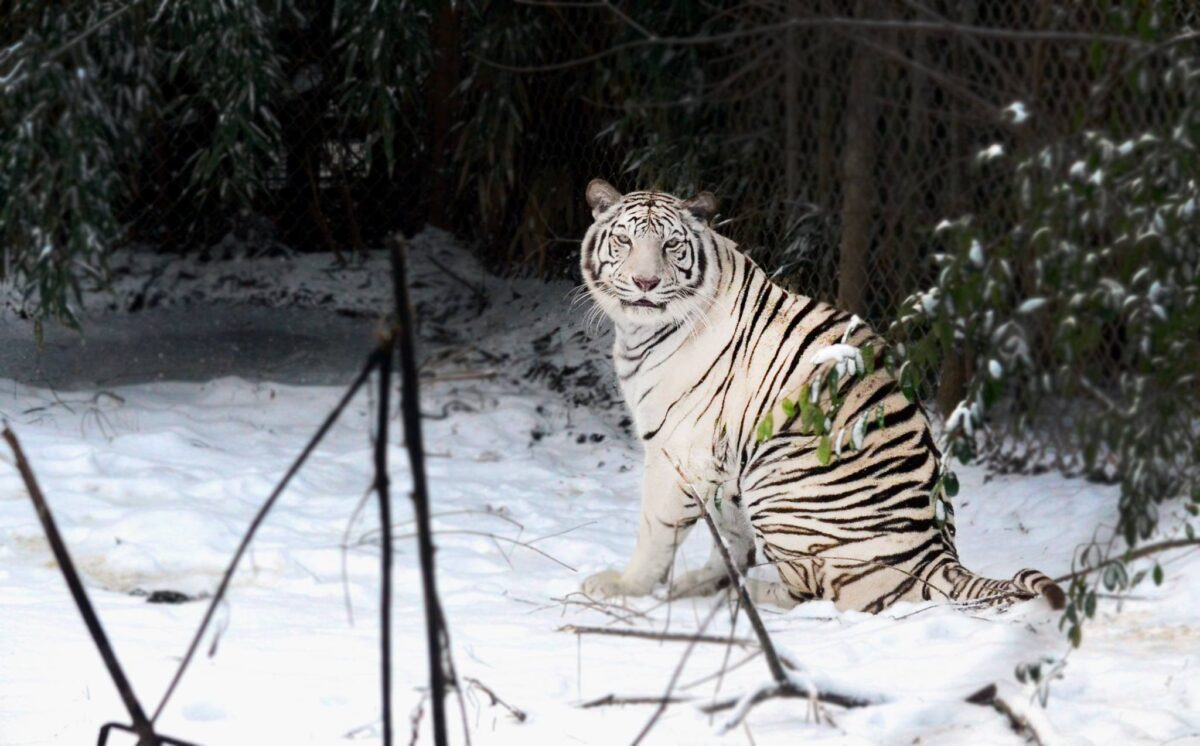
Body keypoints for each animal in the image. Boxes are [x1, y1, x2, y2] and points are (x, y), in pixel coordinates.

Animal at [577, 179, 1065, 613]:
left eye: (671, 245)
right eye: (623, 240)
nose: (645, 282)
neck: (639, 334)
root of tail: (936, 556)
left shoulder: (678, 452)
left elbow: (656, 530)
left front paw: (625, 586)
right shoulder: (722, 461)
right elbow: (730, 532)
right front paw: (712, 574)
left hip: (776, 475)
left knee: (815, 590)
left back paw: (744, 593)